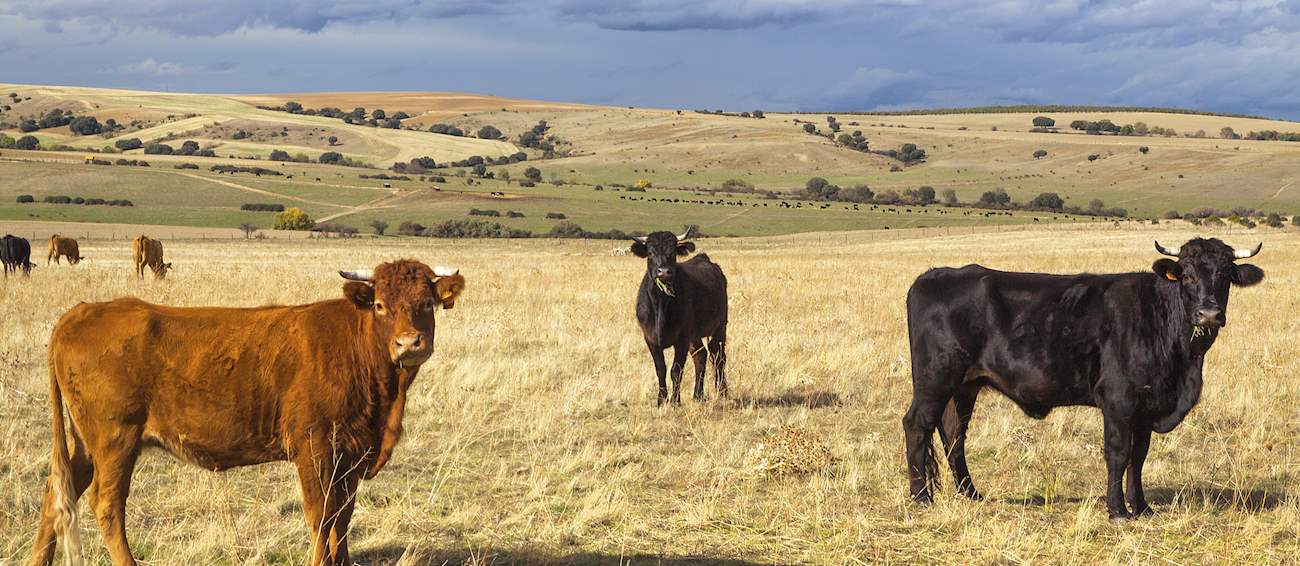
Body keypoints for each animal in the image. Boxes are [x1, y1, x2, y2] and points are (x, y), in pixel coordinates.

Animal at [28, 260, 466, 566]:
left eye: (427, 304)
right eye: (379, 305)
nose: (409, 343)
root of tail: (81, 312)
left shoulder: (352, 454)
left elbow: (343, 517)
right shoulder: (314, 449)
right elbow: (321, 517)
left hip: (85, 443)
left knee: (57, 495)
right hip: (115, 440)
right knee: (106, 506)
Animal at [629, 229, 728, 406]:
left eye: (673, 252)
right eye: (650, 252)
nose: (664, 271)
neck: (660, 305)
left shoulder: (682, 339)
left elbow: (676, 370)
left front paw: (675, 401)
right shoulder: (650, 339)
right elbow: (660, 369)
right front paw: (661, 399)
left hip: (720, 327)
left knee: (719, 357)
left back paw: (722, 391)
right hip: (695, 335)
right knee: (701, 356)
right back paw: (698, 395)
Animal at [902, 238, 1264, 520]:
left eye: (1225, 276)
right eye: (1186, 275)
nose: (1209, 314)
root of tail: (934, 274)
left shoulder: (1146, 407)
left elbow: (1139, 456)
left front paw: (1142, 507)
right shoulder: (1118, 400)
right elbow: (1118, 453)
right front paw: (1117, 510)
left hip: (965, 385)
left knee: (954, 435)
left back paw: (970, 493)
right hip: (936, 378)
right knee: (917, 425)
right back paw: (921, 496)